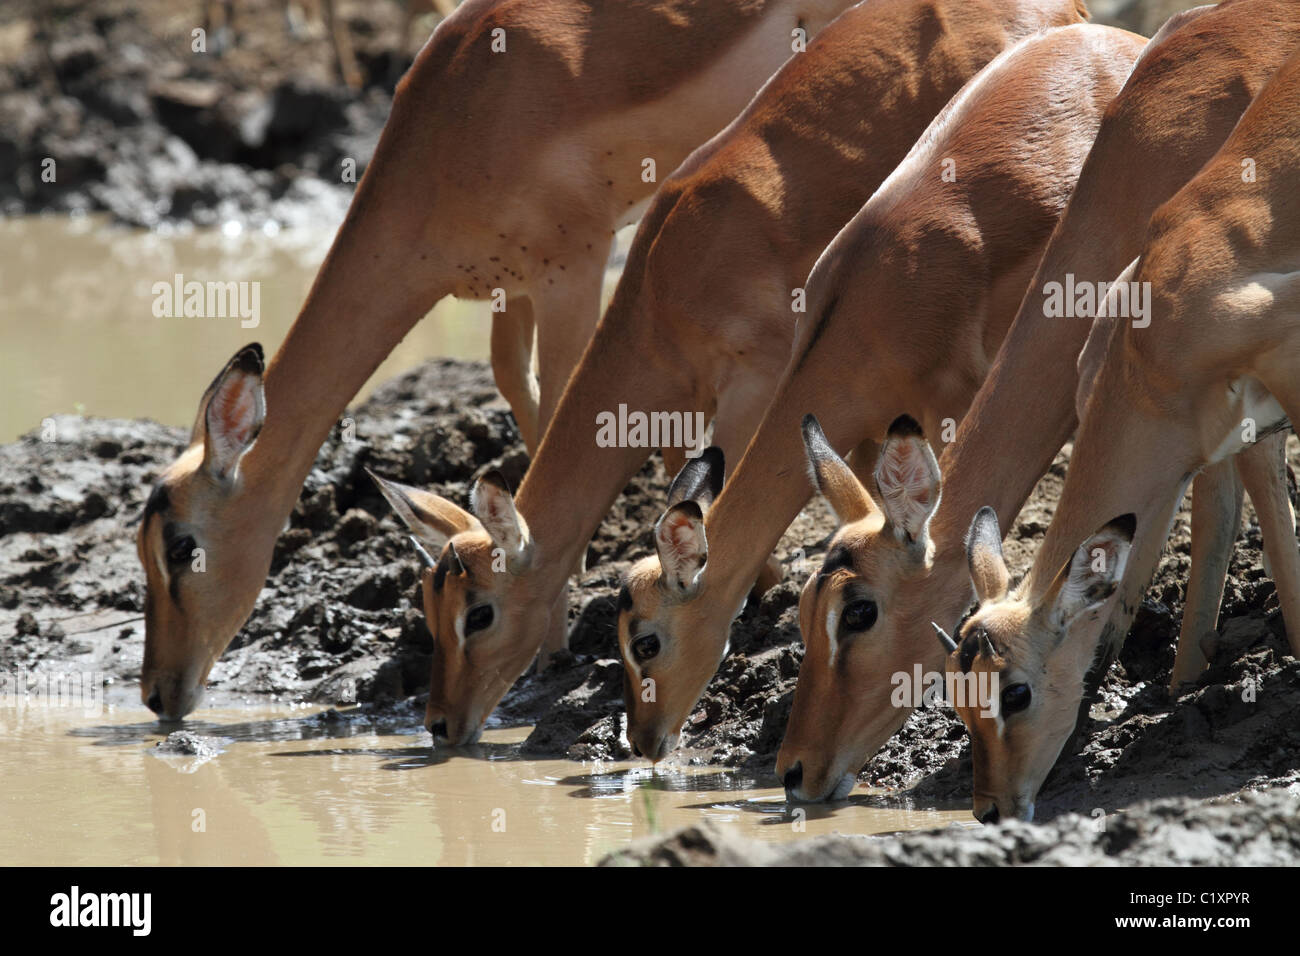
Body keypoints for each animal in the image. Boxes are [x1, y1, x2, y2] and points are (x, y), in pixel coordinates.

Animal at [136, 0, 861, 720]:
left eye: (182, 546)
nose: (156, 693)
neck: (464, 117)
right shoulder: (508, 286)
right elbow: (518, 387)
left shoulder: (572, 268)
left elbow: (559, 403)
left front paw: (554, 645)